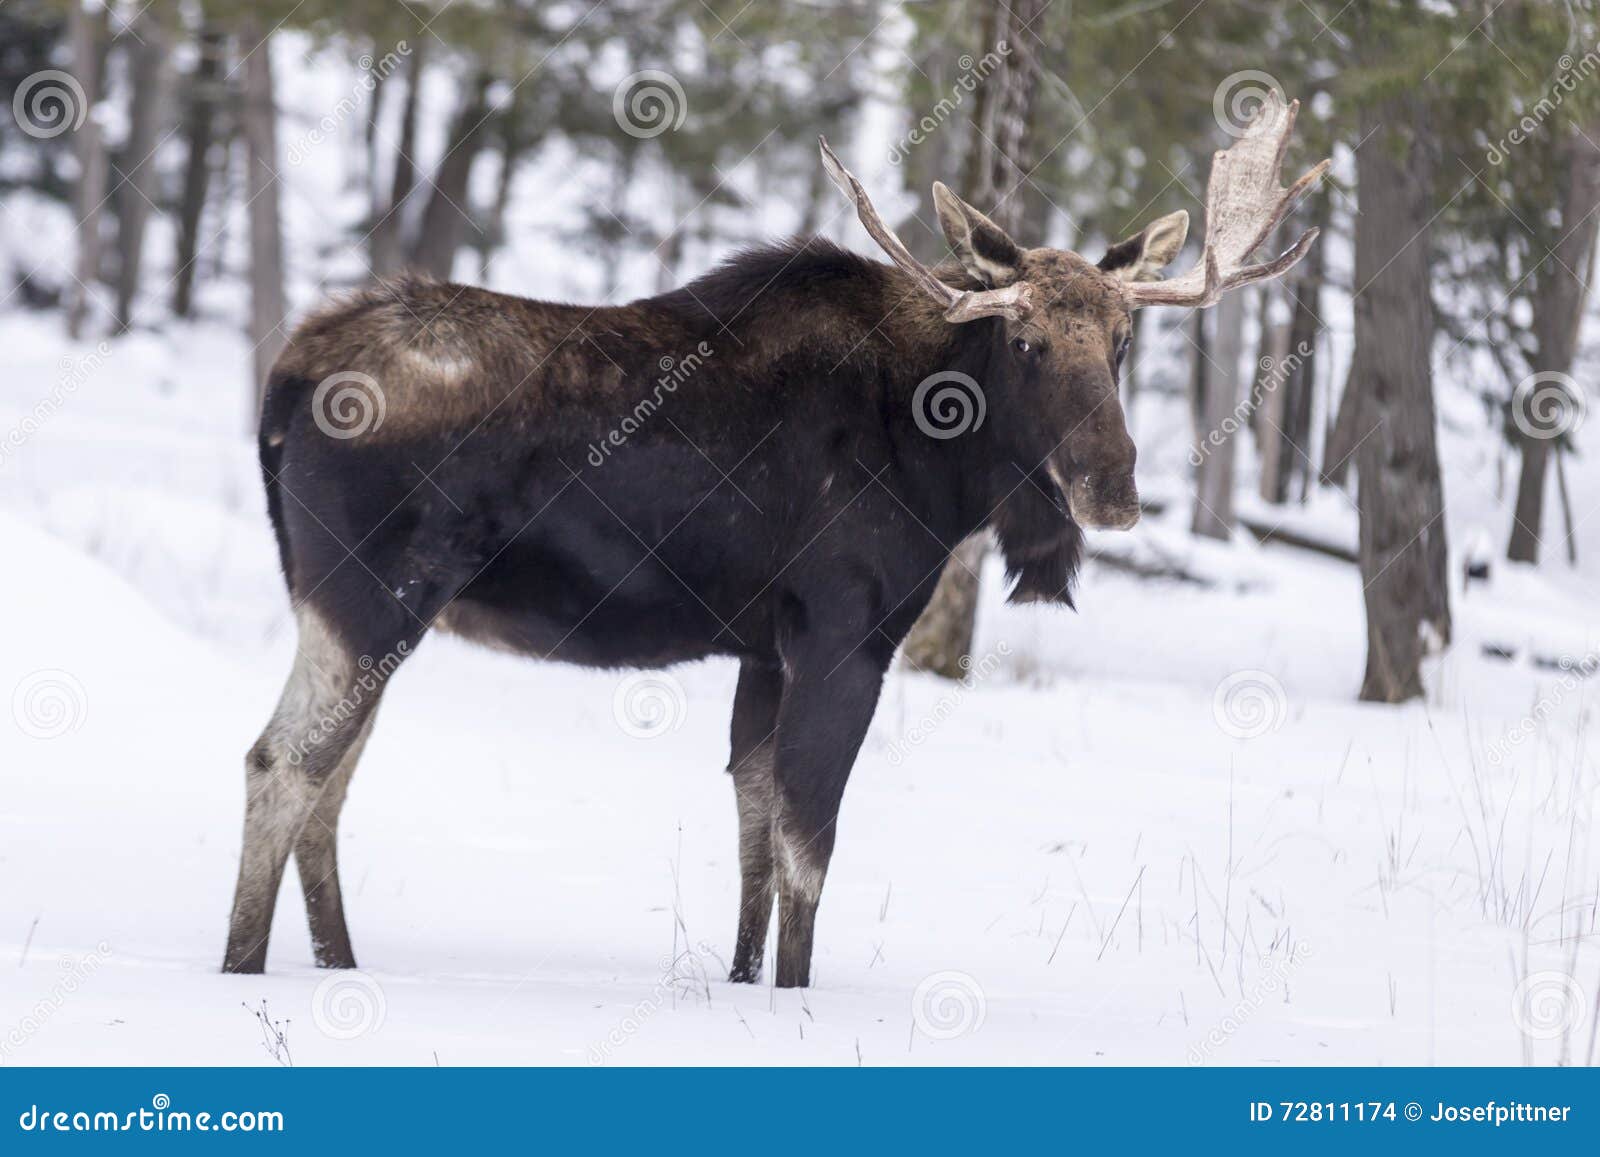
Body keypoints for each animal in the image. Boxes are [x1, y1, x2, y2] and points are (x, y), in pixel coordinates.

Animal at [223, 92, 1327, 988]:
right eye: (1026, 341)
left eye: (1123, 341)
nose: (1113, 490)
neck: (941, 456)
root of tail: (284, 374)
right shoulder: (845, 638)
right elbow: (808, 845)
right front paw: (791, 996)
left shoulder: (763, 648)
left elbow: (754, 827)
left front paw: (744, 981)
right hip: (370, 599)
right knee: (283, 763)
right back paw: (245, 969)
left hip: (368, 611)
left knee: (330, 780)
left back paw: (339, 963)